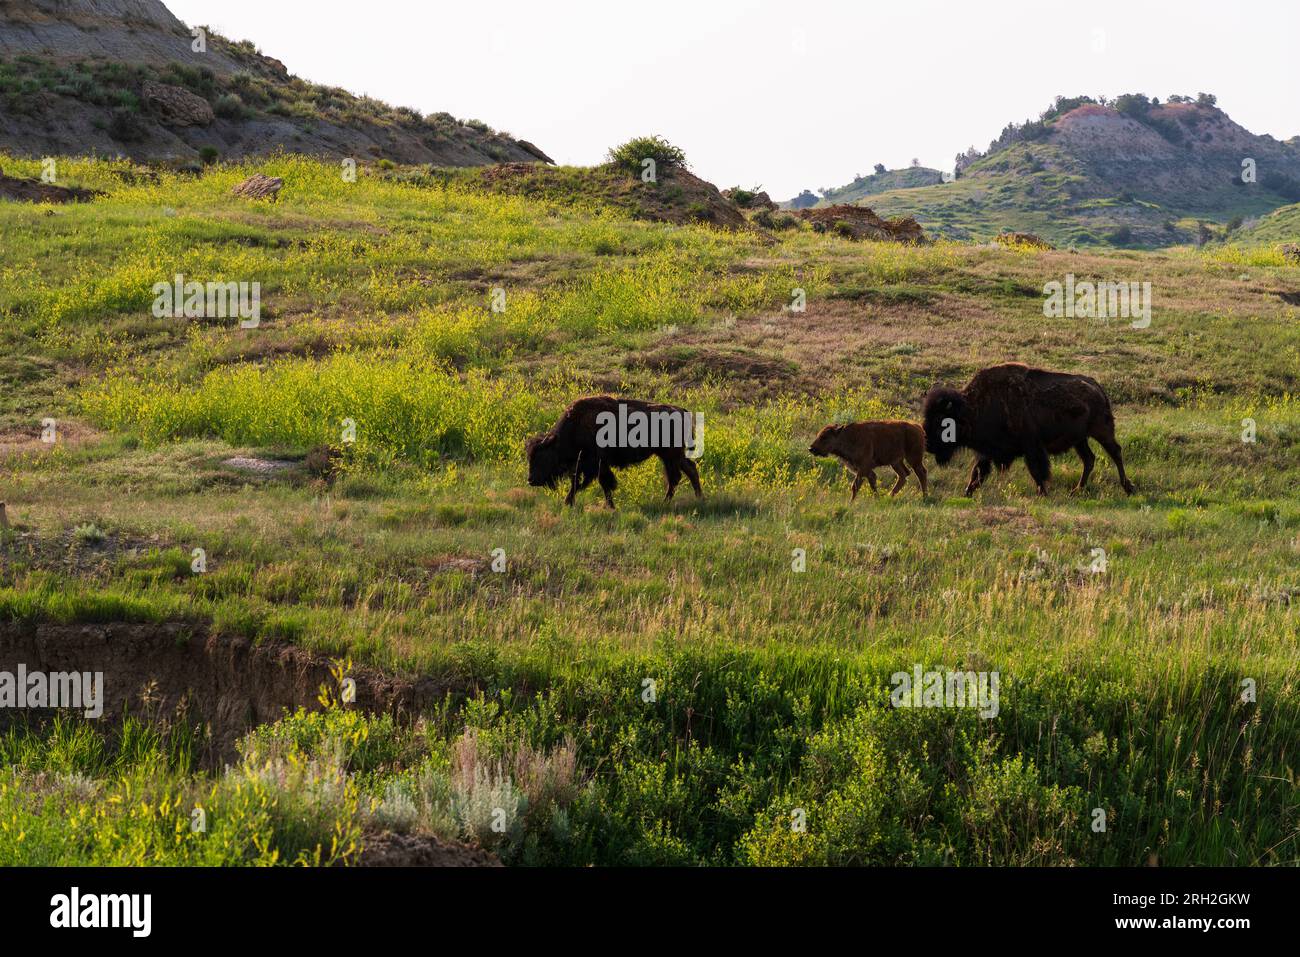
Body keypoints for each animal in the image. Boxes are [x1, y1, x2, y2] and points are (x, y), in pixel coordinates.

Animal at [526, 396, 703, 509]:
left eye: (542, 457)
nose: (531, 480)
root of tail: (682, 411)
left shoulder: (597, 464)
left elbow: (602, 483)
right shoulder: (586, 466)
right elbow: (582, 483)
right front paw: (570, 502)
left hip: (669, 455)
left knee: (676, 477)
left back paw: (666, 502)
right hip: (673, 455)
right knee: (689, 470)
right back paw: (699, 498)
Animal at [922, 363, 1134, 496]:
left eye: (942, 420)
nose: (928, 445)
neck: (971, 409)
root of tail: (1096, 386)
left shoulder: (1031, 447)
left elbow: (1037, 471)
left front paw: (1043, 493)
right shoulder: (987, 452)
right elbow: (978, 472)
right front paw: (967, 492)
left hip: (1102, 431)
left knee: (1115, 453)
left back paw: (1128, 488)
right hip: (1080, 440)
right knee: (1089, 459)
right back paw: (1076, 491)